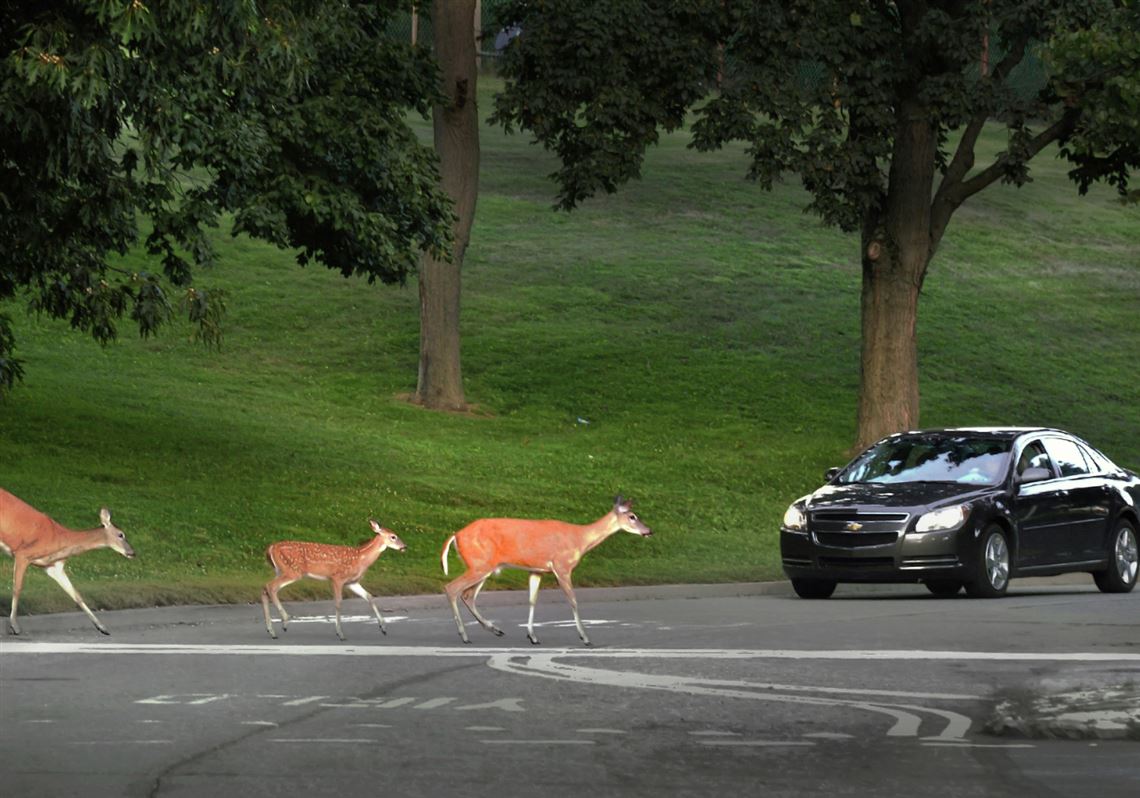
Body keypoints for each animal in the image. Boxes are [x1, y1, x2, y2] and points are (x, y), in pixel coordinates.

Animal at [0, 487, 136, 636]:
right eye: (121, 534)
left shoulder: (54, 567)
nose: (133, 553)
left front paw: (102, 627)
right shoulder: (23, 553)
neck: (59, 539)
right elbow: (17, 588)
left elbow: (76, 595)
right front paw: (14, 626)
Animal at [261, 519, 407, 641]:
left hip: (280, 570)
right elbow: (338, 603)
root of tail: (270, 547)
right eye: (393, 536)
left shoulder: (352, 582)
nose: (404, 546)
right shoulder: (337, 578)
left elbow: (369, 596)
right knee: (271, 587)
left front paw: (383, 627)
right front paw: (340, 633)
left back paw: (271, 631)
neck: (361, 559)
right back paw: (285, 621)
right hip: (293, 570)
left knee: (265, 588)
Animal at [441, 495, 652, 646]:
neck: (580, 539)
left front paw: (532, 636)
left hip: (484, 566)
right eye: (633, 516)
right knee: (451, 588)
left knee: (467, 595)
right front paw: (585, 638)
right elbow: (573, 601)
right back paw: (465, 636)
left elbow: (532, 600)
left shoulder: (537, 570)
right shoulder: (562, 566)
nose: (649, 531)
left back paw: (495, 629)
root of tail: (455, 535)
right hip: (480, 564)